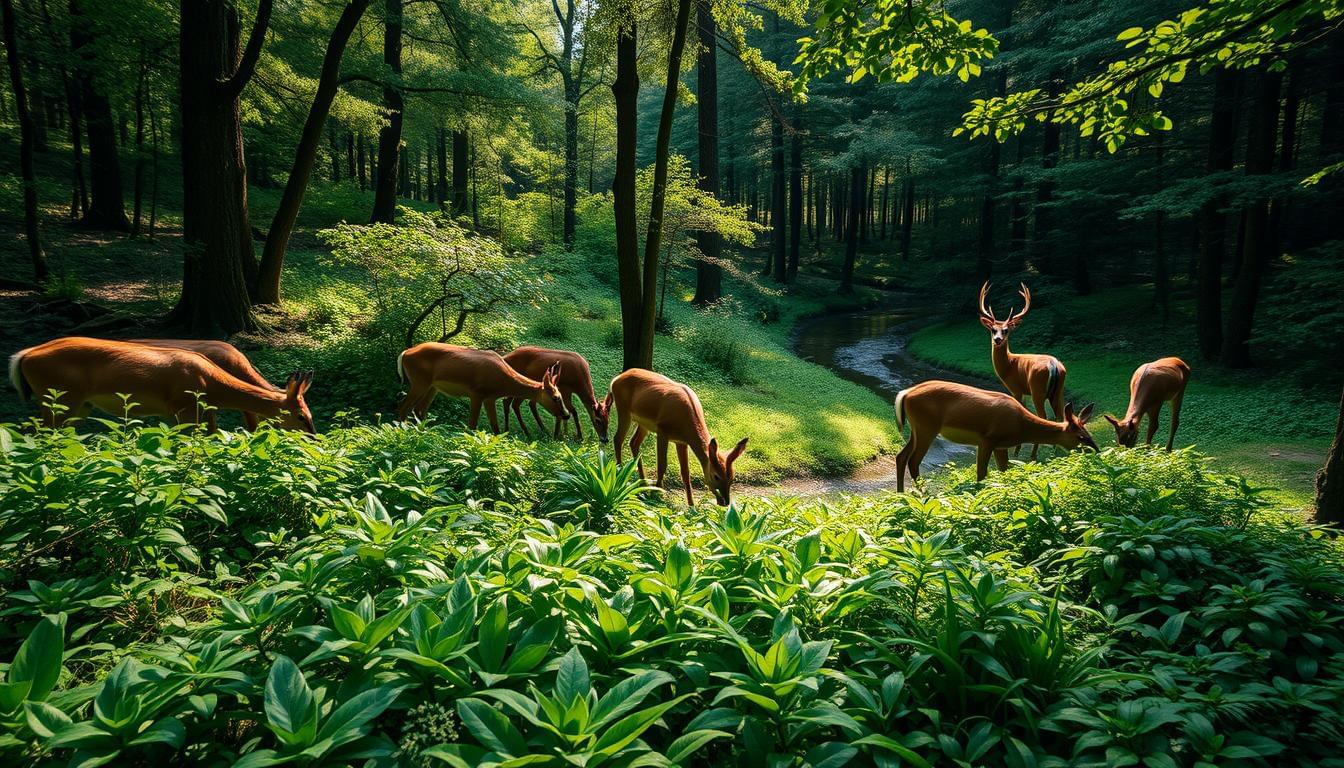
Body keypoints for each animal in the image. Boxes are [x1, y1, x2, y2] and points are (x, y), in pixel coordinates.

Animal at [395, 342, 569, 432]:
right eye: (556, 397)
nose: (566, 414)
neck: (502, 381)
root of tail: (405, 353)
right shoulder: (476, 393)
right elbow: (472, 425)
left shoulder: (490, 398)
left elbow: (495, 427)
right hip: (419, 382)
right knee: (403, 407)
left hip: (433, 386)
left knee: (419, 410)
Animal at [609, 368, 748, 506]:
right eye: (716, 476)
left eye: (732, 477)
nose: (725, 502)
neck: (686, 423)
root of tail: (616, 379)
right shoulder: (662, 431)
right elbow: (662, 465)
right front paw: (656, 494)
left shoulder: (681, 441)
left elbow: (685, 472)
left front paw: (691, 504)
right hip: (623, 410)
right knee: (618, 439)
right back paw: (620, 475)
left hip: (643, 424)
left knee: (633, 442)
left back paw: (643, 482)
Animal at [893, 380, 1097, 492]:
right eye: (1081, 437)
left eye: (1089, 434)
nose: (1096, 450)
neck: (1021, 426)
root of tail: (906, 393)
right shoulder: (988, 439)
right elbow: (981, 473)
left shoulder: (1001, 445)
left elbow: (1004, 471)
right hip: (926, 427)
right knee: (913, 460)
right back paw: (924, 496)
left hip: (917, 429)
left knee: (901, 456)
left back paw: (901, 494)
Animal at [978, 282, 1067, 461]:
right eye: (993, 329)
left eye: (1006, 330)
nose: (997, 339)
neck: (1009, 364)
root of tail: (1053, 365)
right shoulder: (1023, 391)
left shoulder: (1016, 388)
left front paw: (1015, 452)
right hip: (1058, 390)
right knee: (1059, 416)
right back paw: (1055, 452)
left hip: (1037, 388)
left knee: (1043, 417)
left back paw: (1033, 455)